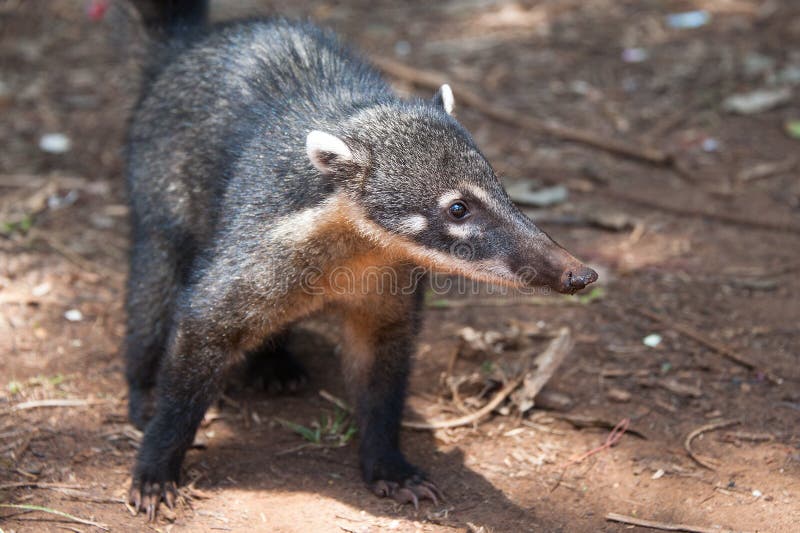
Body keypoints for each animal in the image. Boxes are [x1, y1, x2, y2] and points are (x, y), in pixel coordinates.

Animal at [123, 2, 597, 521]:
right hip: (160, 185)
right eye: (458, 209)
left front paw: (387, 460)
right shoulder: (263, 244)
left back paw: (273, 359)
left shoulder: (390, 282)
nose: (580, 274)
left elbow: (378, 365)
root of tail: (186, 46)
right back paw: (144, 383)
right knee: (155, 282)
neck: (364, 244)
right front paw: (160, 456)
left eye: (504, 193)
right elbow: (202, 324)